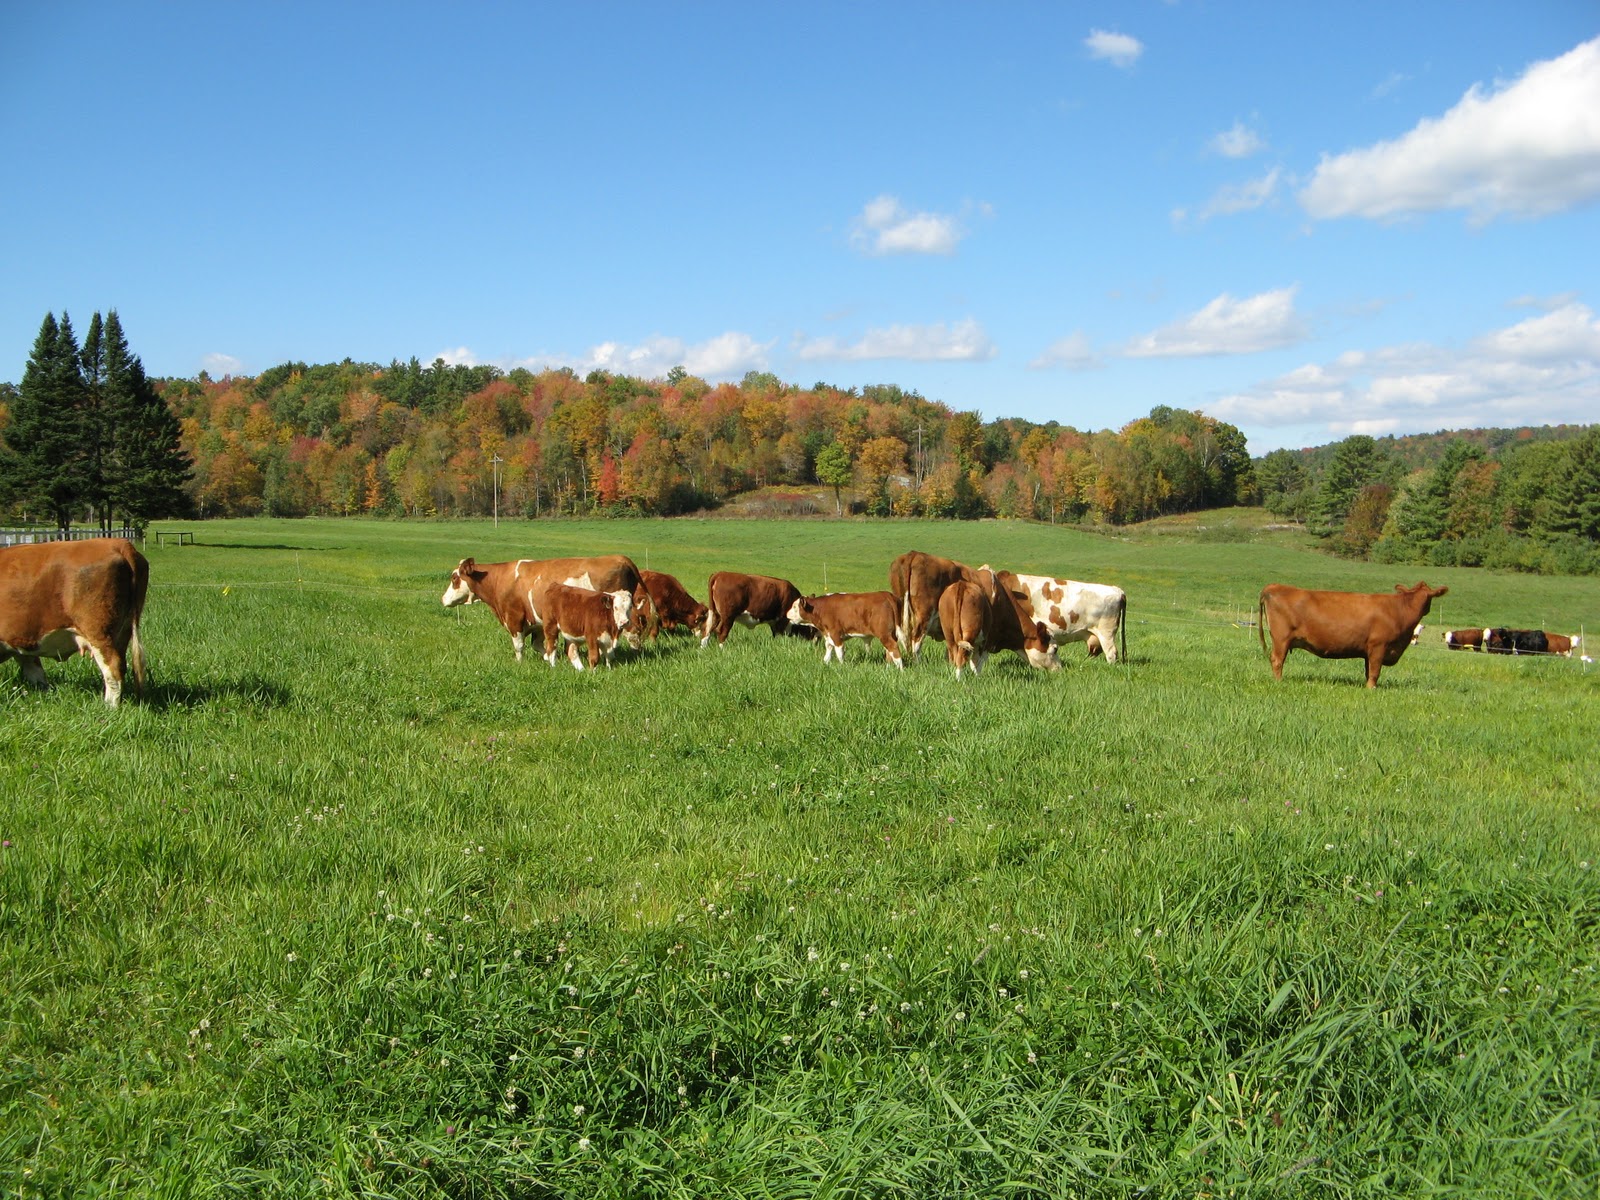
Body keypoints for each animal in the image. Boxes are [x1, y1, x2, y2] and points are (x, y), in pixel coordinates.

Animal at [0, 537, 149, 706]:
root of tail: (119, 543)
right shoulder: (22, 642)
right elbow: (35, 672)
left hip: (98, 633)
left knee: (113, 669)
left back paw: (108, 707)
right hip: (123, 631)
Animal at [441, 554, 644, 660]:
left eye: (454, 578)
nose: (443, 599)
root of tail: (619, 557)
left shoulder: (514, 618)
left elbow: (519, 646)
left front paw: (520, 664)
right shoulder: (537, 622)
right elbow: (538, 644)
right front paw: (550, 658)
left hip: (619, 615)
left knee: (630, 634)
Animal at [1258, 581, 1447, 688]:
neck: (1401, 609)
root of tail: (1275, 586)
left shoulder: (1369, 652)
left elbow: (1368, 671)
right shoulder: (1379, 646)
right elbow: (1375, 671)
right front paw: (1371, 689)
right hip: (1281, 639)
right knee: (1277, 660)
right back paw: (1279, 682)